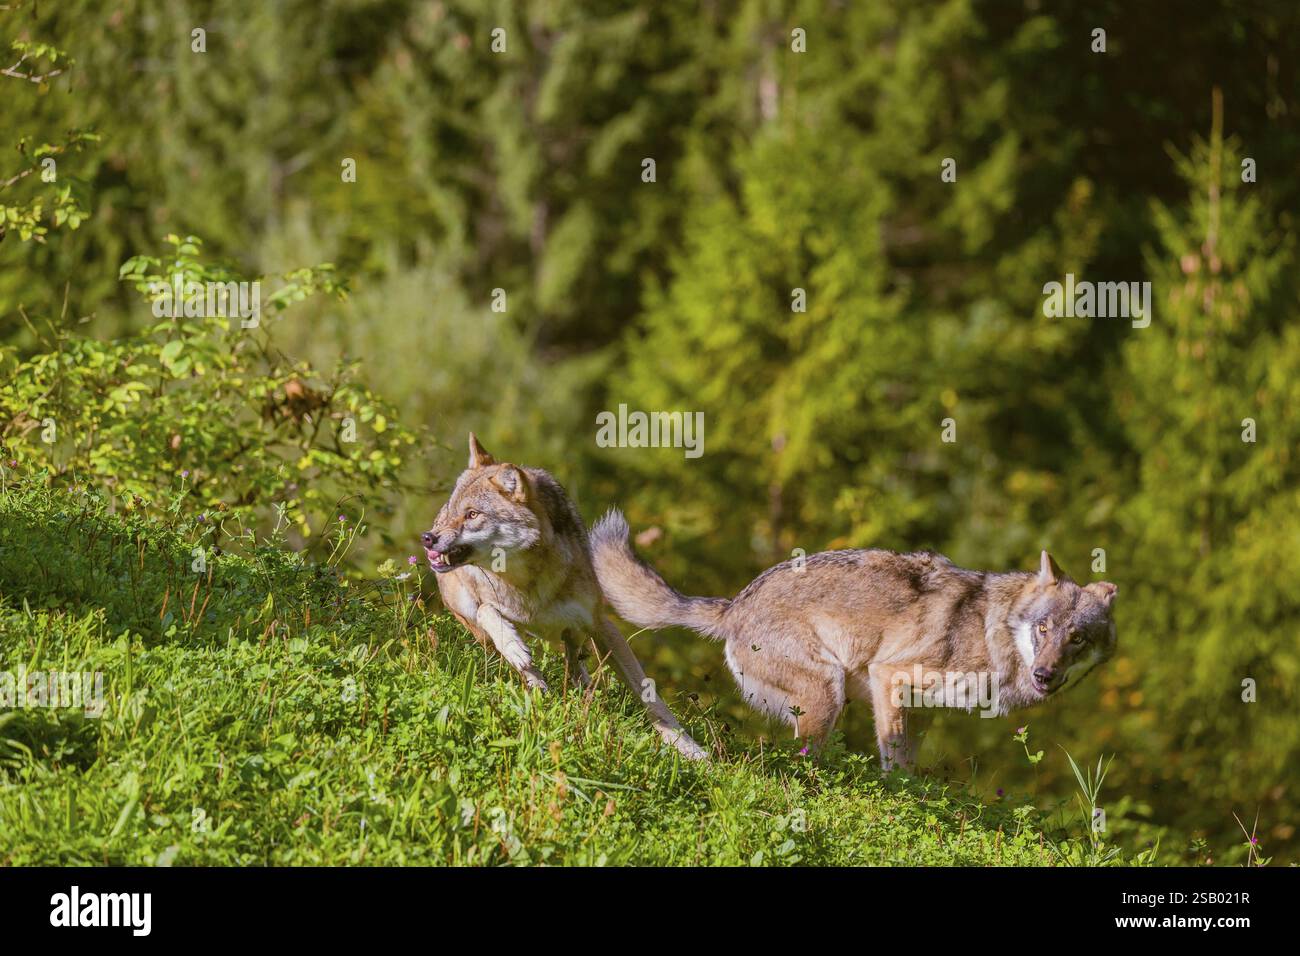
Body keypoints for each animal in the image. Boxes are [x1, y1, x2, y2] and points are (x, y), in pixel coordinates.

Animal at [420, 435, 707, 760]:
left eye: (472, 514)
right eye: (453, 510)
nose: (428, 537)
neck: (528, 584)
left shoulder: (600, 624)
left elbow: (648, 695)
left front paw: (689, 749)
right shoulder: (488, 609)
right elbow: (490, 614)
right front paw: (518, 653)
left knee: (576, 663)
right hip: (470, 618)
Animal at [591, 510, 1117, 770]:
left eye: (1077, 639)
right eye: (1043, 629)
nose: (1044, 674)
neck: (995, 633)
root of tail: (735, 604)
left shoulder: (923, 711)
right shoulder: (890, 678)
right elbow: (895, 769)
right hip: (827, 696)